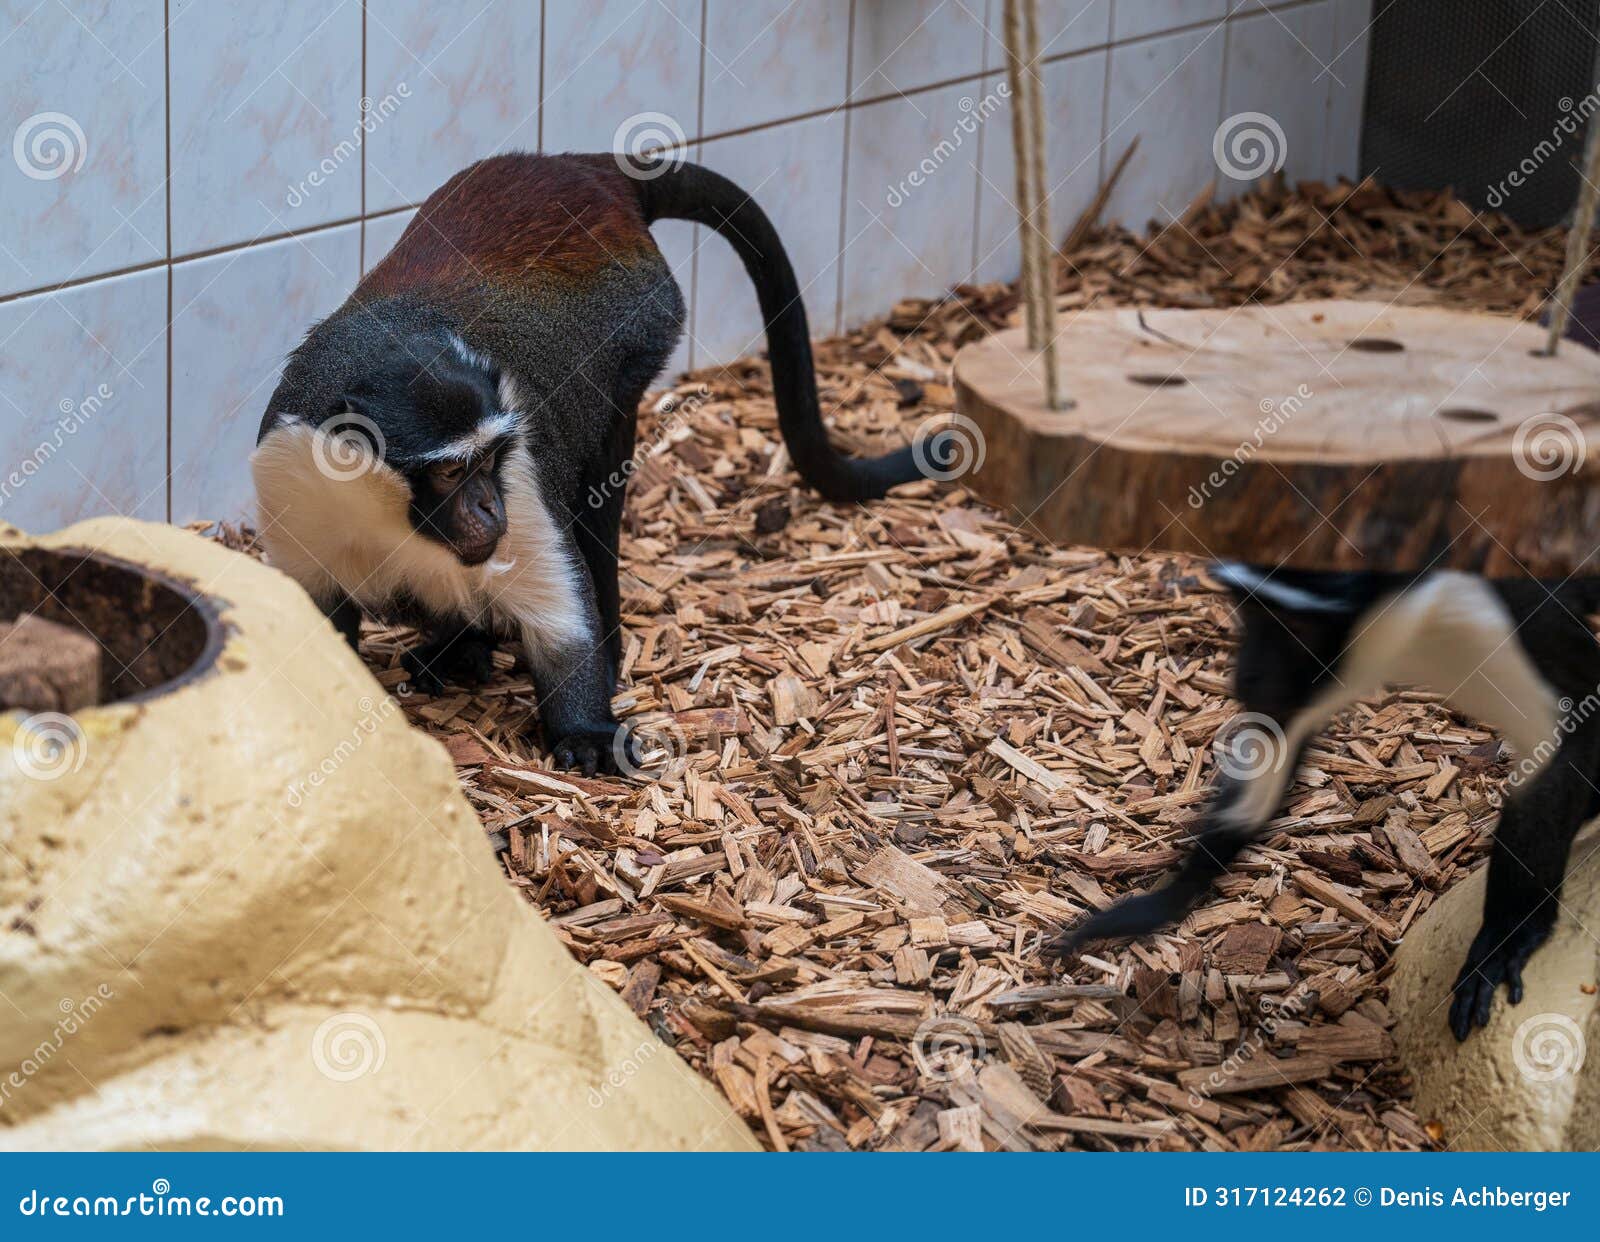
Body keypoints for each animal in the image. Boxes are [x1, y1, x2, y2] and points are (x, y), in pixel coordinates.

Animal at [252, 153, 926, 775]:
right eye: (451, 472)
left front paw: (585, 730)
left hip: (643, 339)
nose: (488, 505)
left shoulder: (521, 471)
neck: (382, 510)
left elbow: (560, 614)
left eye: (490, 460)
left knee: (599, 493)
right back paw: (458, 649)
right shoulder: (288, 475)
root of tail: (588, 167)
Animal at [1048, 562, 1600, 1041]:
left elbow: (1575, 731)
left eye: (1294, 629)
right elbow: (1275, 749)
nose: (1247, 676)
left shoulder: (1482, 612)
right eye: (1248, 613)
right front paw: (1153, 907)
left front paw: (1508, 935)